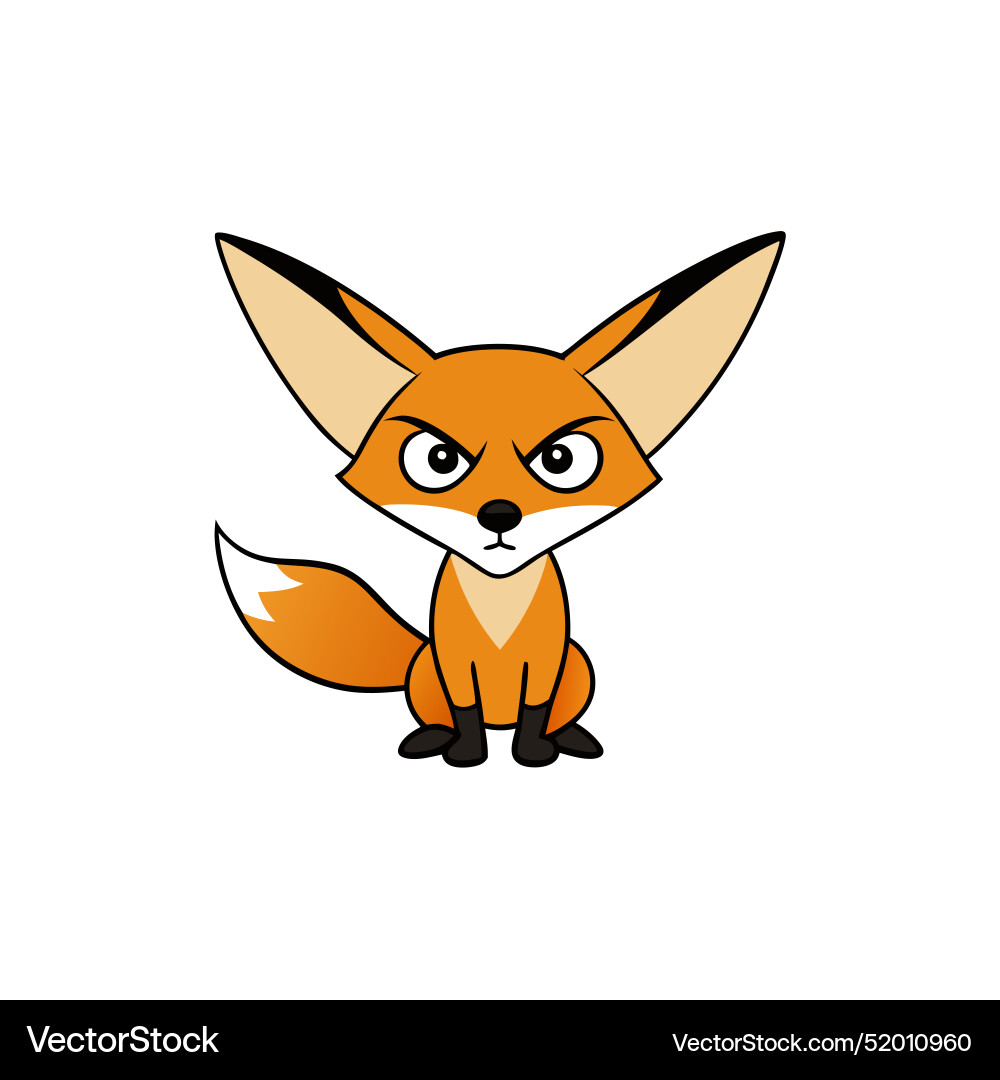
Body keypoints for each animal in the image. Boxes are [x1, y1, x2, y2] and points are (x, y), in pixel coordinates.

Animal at [214, 232, 784, 767]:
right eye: (439, 459)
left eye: (561, 459)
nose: (499, 516)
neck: (499, 606)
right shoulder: (454, 662)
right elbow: (466, 714)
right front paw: (467, 754)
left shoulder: (548, 661)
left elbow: (536, 712)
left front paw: (533, 753)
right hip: (426, 671)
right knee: (442, 714)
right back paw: (430, 737)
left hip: (579, 665)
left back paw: (570, 737)